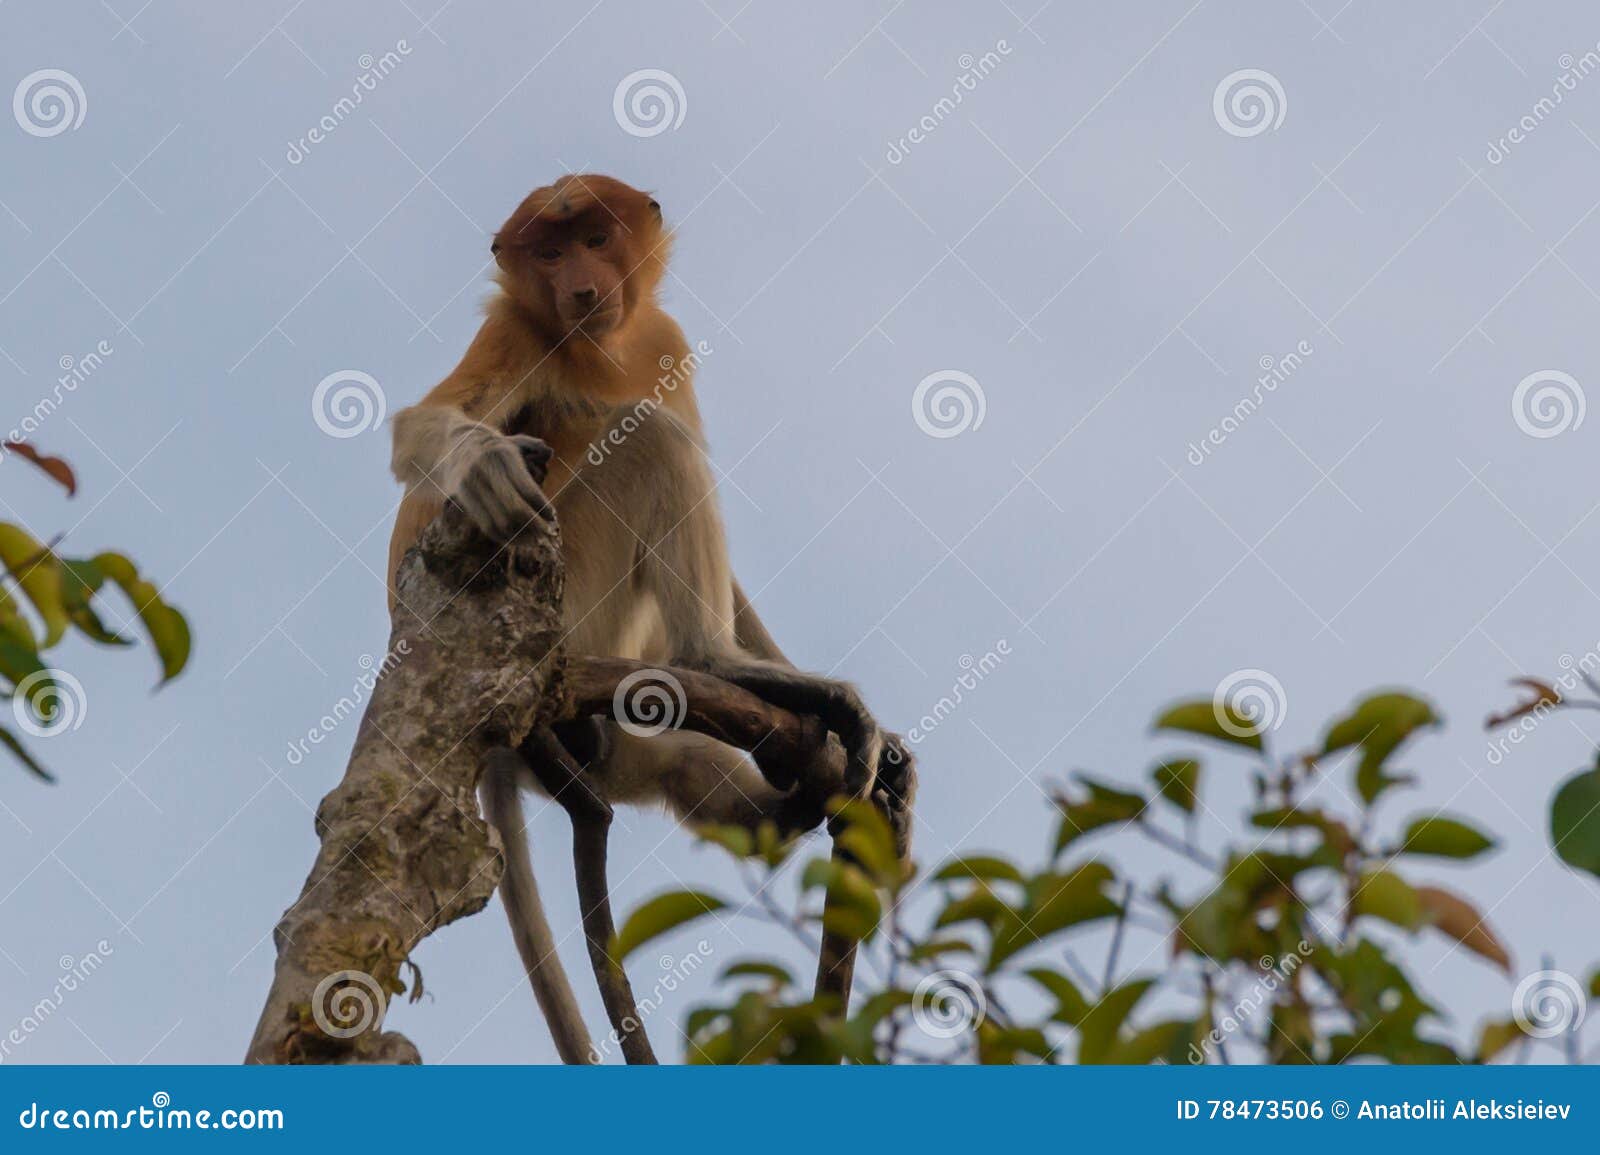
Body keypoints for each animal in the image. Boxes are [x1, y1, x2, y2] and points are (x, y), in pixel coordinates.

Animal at [386, 174, 912, 1062]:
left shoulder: (663, 338)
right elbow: (422, 430)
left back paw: (784, 799)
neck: (600, 348)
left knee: (675, 762)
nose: (581, 288)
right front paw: (480, 461)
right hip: (573, 603)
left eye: (596, 238)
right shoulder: (518, 331)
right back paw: (724, 665)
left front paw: (875, 750)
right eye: (549, 251)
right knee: (650, 440)